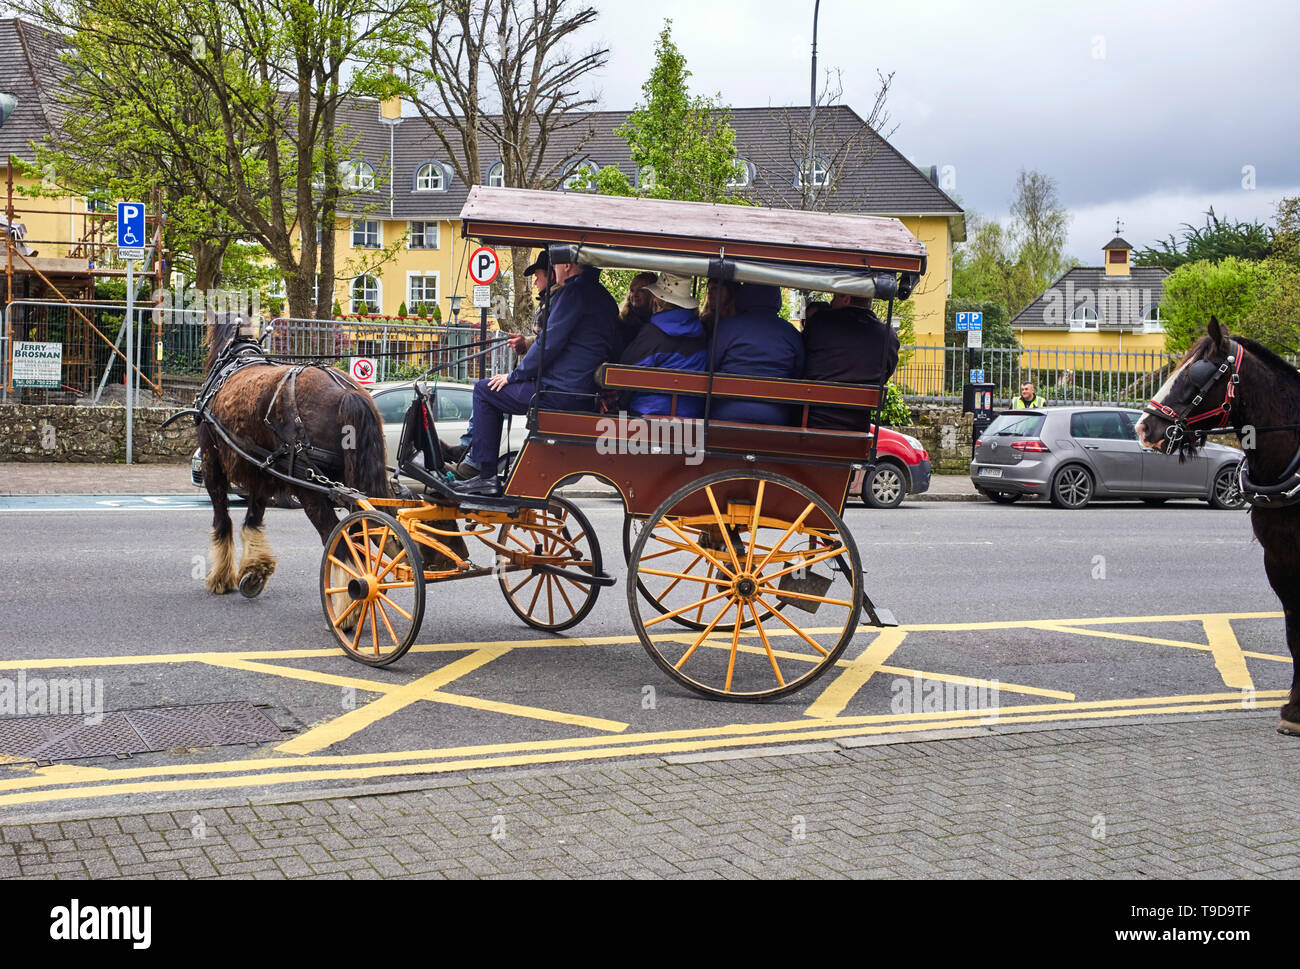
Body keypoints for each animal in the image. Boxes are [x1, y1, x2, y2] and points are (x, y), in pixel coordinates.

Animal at [197, 316, 387, 598]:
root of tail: (347, 392)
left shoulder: (212, 463)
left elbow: (222, 519)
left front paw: (221, 577)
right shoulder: (262, 471)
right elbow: (253, 516)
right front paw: (255, 571)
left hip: (310, 488)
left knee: (339, 543)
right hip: (350, 486)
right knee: (357, 537)